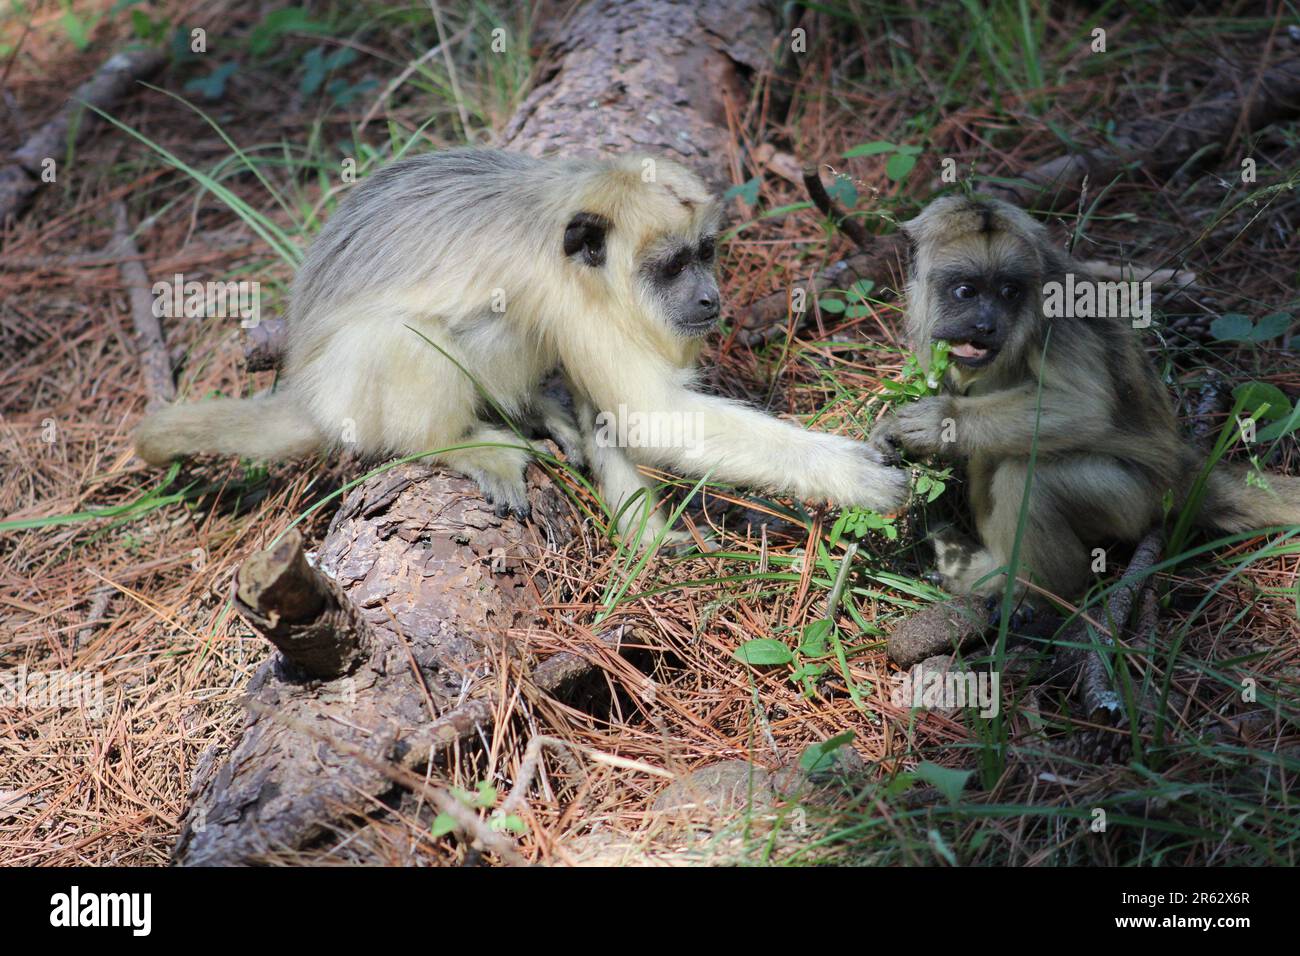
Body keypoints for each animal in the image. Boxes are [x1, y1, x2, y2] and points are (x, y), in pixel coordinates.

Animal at [135, 148, 908, 544]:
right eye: (669, 268)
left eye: (706, 254)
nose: (710, 299)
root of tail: (303, 387)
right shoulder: (569, 293)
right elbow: (651, 414)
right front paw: (850, 475)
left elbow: (619, 415)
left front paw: (646, 544)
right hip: (352, 391)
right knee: (407, 337)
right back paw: (462, 443)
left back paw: (543, 408)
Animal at [869, 194, 1300, 606]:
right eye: (965, 291)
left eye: (1009, 292)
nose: (986, 325)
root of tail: (1181, 473)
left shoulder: (1057, 314)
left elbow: (1083, 408)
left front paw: (939, 421)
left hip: (1131, 502)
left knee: (1024, 476)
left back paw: (1028, 588)